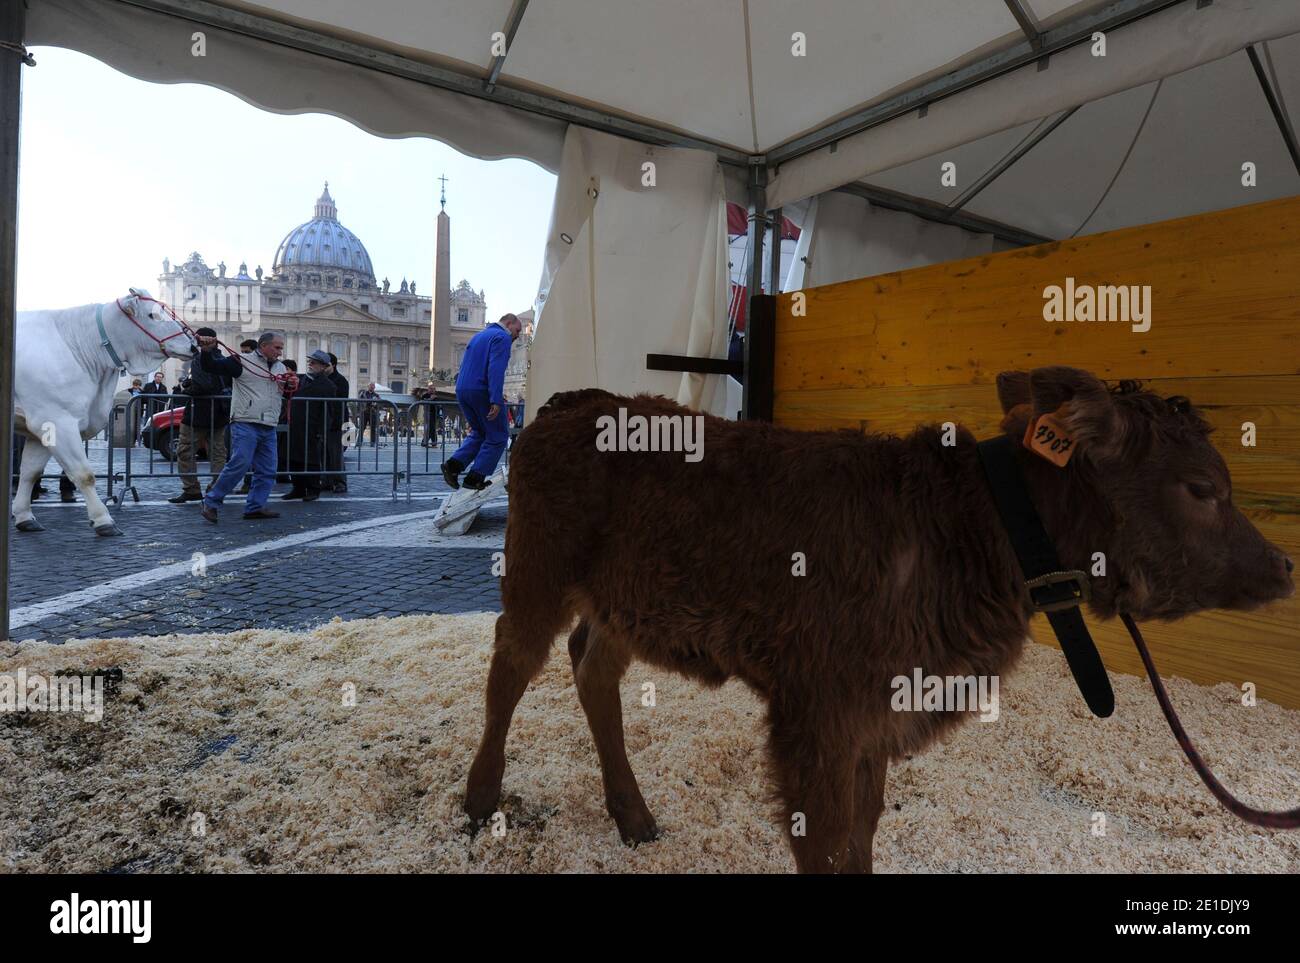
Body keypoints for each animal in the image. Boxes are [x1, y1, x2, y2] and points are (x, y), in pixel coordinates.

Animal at [12, 288, 196, 536]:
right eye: (152, 315)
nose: (193, 346)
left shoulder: (39, 428)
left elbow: (30, 472)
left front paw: (24, 516)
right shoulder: (56, 420)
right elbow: (84, 474)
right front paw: (103, 520)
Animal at [464, 366, 1295, 873]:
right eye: (1202, 487)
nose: (1285, 565)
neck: (966, 535)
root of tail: (573, 399)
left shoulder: (874, 719)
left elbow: (861, 837)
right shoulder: (819, 716)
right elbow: (832, 846)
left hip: (624, 600)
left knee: (591, 666)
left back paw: (632, 813)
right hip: (537, 569)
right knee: (510, 666)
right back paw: (478, 801)